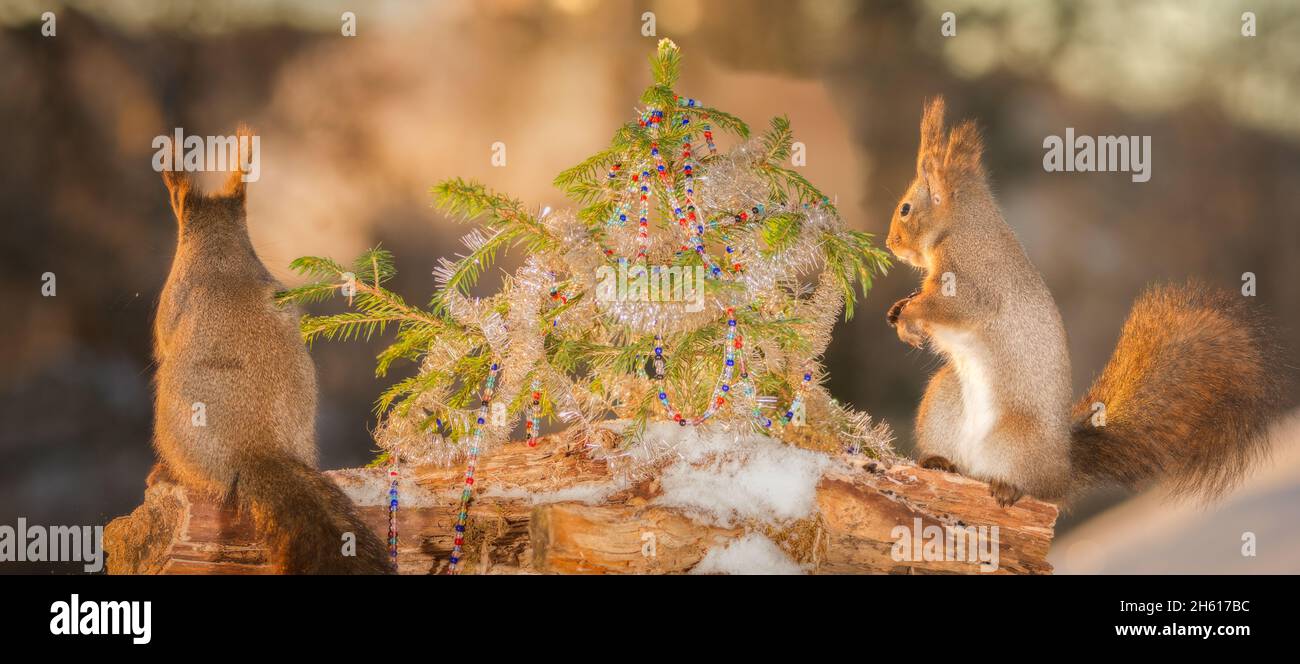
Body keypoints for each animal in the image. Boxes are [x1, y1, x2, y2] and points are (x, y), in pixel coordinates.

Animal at [885, 98, 1287, 507]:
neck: (961, 227)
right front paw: (899, 309)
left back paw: (1009, 487)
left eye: (905, 209)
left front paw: (910, 316)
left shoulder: (971, 279)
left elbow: (953, 307)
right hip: (943, 402)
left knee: (1035, 490)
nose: (890, 244)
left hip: (1016, 442)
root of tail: (1063, 469)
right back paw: (939, 462)